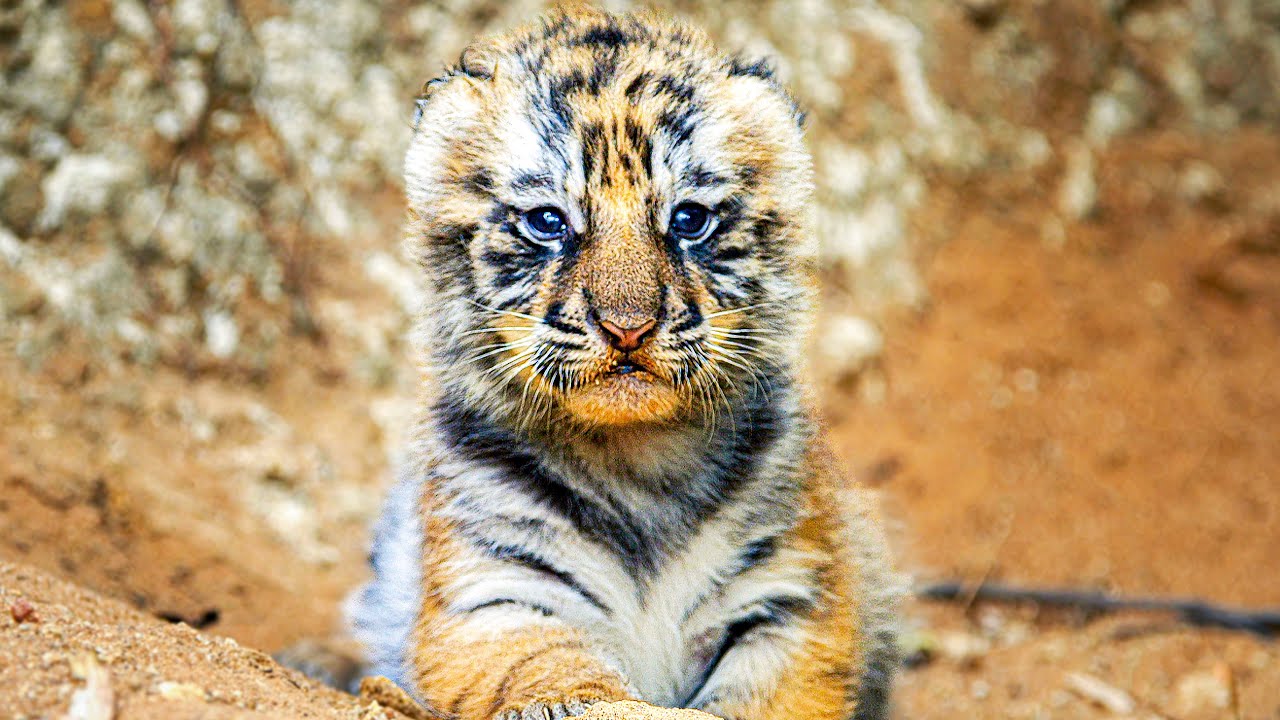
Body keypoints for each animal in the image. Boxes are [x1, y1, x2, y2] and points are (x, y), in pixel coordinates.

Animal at [297, 6, 903, 720]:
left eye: (689, 220)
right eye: (547, 222)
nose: (627, 327)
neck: (637, 461)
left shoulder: (792, 600)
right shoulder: (493, 592)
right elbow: (559, 673)